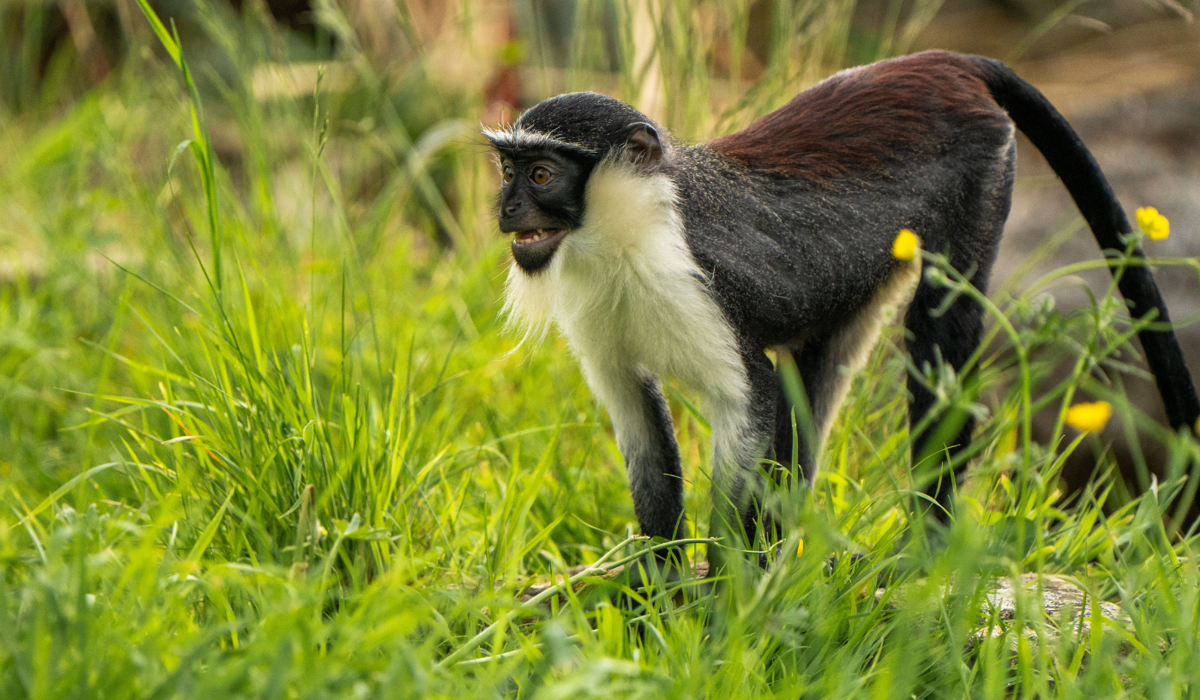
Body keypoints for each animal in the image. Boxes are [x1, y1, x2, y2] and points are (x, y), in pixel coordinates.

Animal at [483, 50, 1200, 567]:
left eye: (543, 174)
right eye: (508, 171)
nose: (507, 209)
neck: (629, 231)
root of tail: (945, 61)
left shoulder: (697, 285)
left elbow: (752, 397)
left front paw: (722, 598)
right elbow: (643, 429)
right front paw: (659, 587)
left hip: (982, 177)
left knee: (938, 332)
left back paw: (923, 550)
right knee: (818, 365)